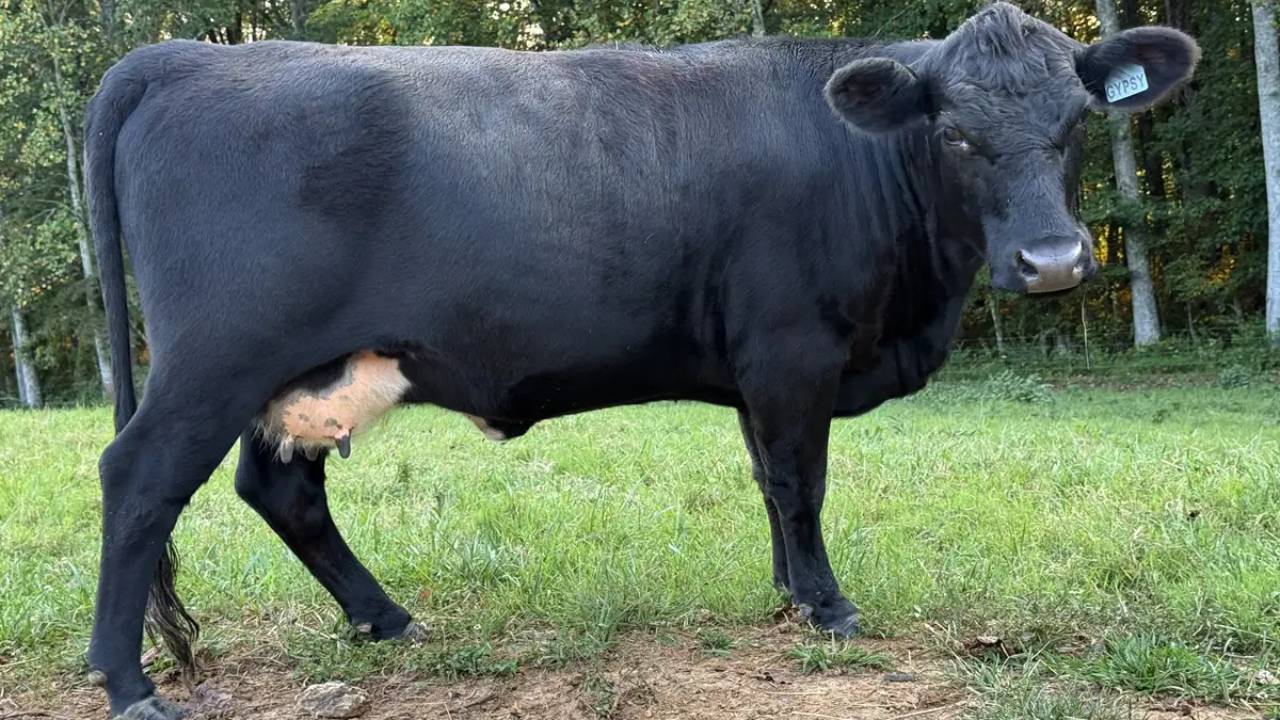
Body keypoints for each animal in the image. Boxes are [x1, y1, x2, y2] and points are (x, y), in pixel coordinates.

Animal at [83, 4, 1197, 717]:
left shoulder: (757, 369)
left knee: (279, 490)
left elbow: (766, 481)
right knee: (139, 481)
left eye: (1073, 126)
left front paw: (790, 594)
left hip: (300, 373)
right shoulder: (792, 351)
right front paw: (829, 606)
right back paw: (128, 684)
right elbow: (800, 482)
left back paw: (385, 618)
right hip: (216, 359)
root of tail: (175, 57)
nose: (1052, 262)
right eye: (957, 134)